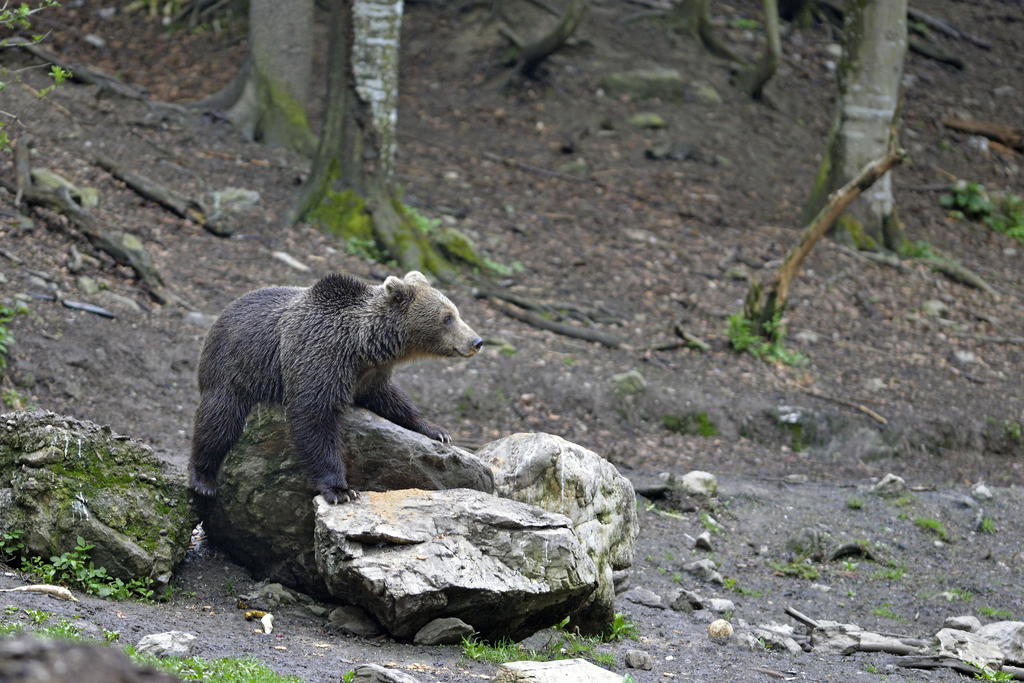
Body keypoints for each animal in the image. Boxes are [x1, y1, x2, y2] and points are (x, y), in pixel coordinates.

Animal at [187, 270, 483, 504]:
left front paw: (437, 431)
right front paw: (340, 490)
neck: (362, 345)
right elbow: (315, 416)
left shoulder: (370, 375)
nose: (476, 341)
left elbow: (390, 398)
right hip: (232, 368)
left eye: (455, 312)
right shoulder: (321, 355)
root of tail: (224, 311)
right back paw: (203, 480)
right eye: (447, 317)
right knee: (219, 420)